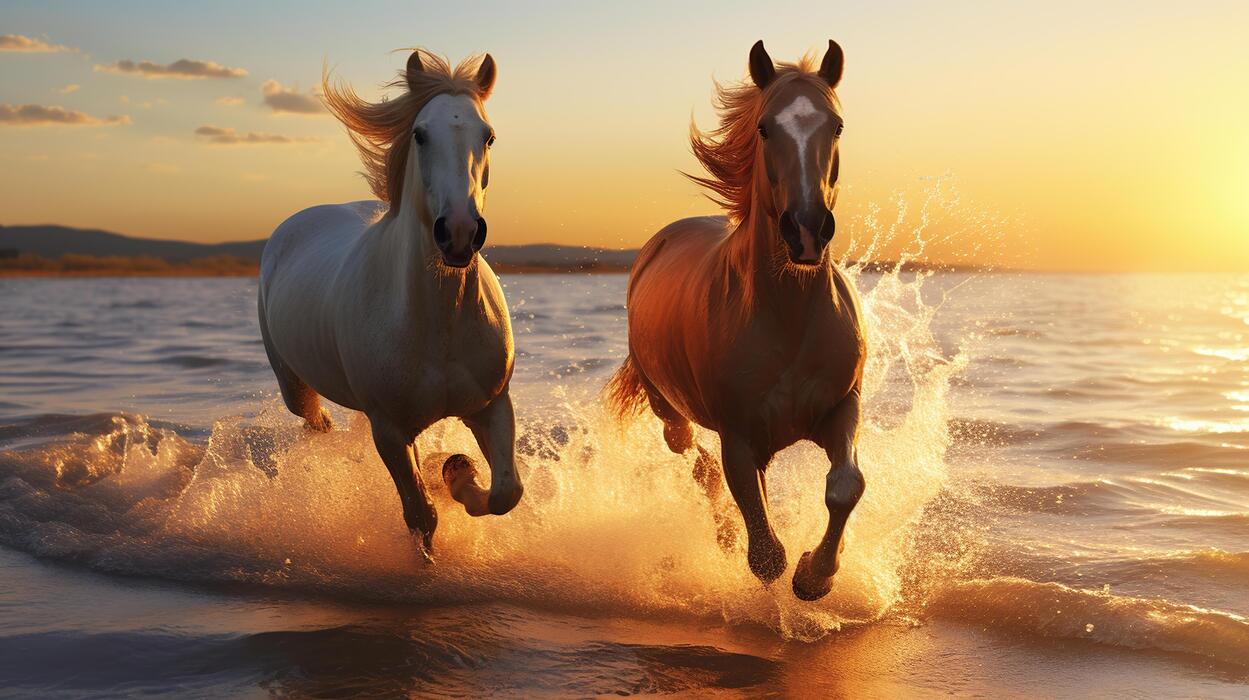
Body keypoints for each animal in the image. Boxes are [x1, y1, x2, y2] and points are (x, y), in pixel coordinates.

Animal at [258, 49, 523, 560]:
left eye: (489, 136)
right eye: (420, 134)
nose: (459, 232)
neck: (439, 324)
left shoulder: (492, 404)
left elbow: (505, 494)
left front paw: (457, 472)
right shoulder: (389, 428)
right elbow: (421, 517)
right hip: (297, 391)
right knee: (317, 424)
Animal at [606, 40, 863, 601]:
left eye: (836, 126)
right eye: (765, 128)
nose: (807, 229)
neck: (787, 317)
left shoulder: (841, 408)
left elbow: (845, 487)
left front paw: (815, 577)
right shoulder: (739, 437)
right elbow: (765, 553)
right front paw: (786, 581)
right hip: (669, 409)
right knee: (694, 460)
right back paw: (724, 531)